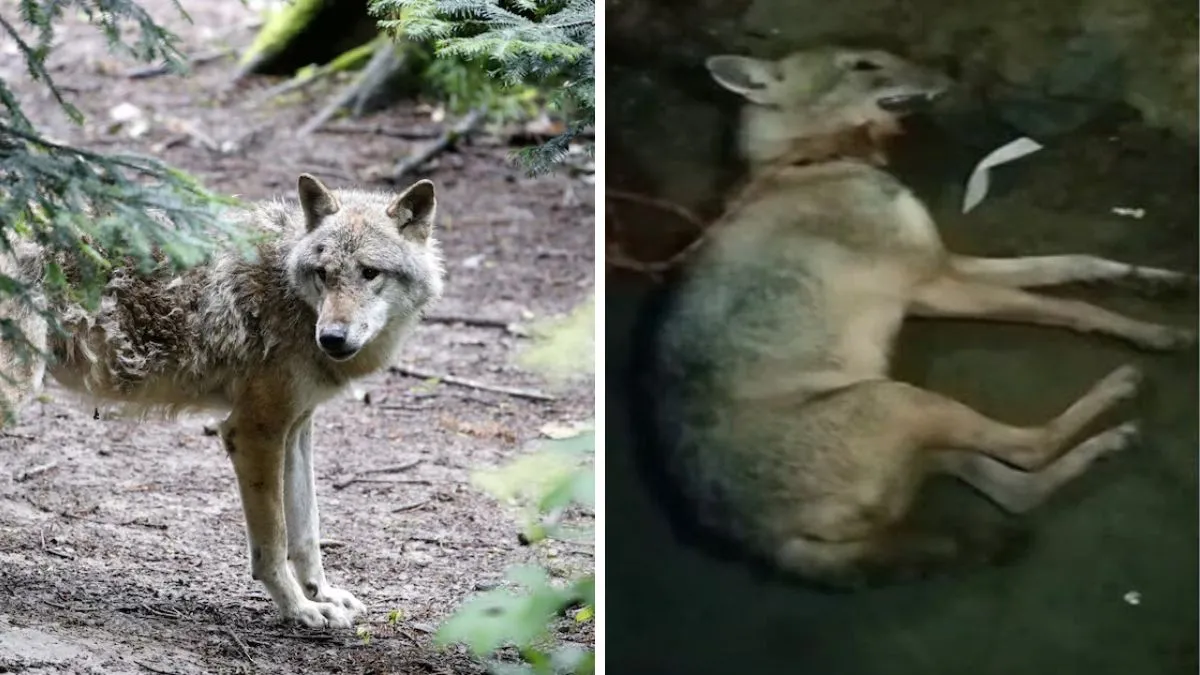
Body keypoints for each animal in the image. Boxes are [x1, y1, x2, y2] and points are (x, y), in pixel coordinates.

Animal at [0, 174, 444, 627]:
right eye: (323, 274)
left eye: (370, 273)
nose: (333, 338)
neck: (287, 291)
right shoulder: (253, 431)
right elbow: (273, 542)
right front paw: (298, 609)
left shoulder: (297, 427)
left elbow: (307, 531)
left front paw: (324, 595)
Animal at [634, 47, 1196, 587]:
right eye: (863, 64)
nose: (947, 70)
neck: (814, 159)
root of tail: (769, 542)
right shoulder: (936, 285)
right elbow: (1068, 305)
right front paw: (1152, 331)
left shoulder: (945, 267)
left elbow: (1074, 263)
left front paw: (1156, 281)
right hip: (903, 401)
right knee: (1029, 449)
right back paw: (1116, 390)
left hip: (928, 439)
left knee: (1018, 492)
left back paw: (1108, 441)